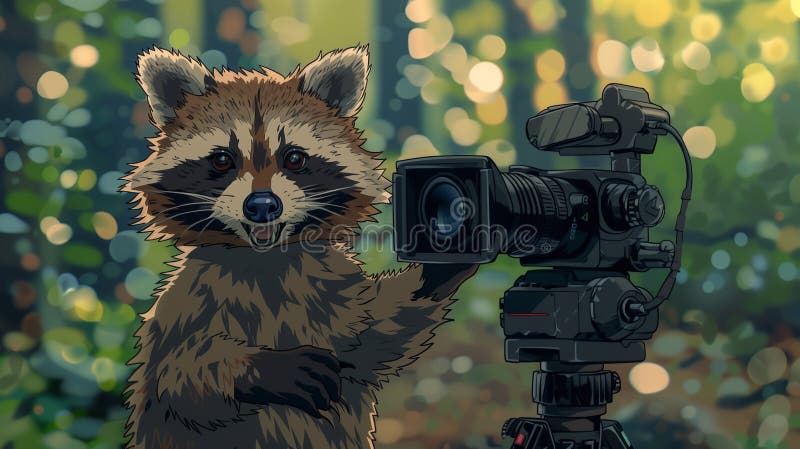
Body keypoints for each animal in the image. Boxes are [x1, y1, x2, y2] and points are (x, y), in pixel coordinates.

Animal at [122, 45, 478, 449]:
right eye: (222, 160)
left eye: (294, 158)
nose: (262, 205)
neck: (266, 259)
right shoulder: (187, 302)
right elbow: (181, 373)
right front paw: (258, 367)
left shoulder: (333, 295)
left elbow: (380, 330)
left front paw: (439, 268)